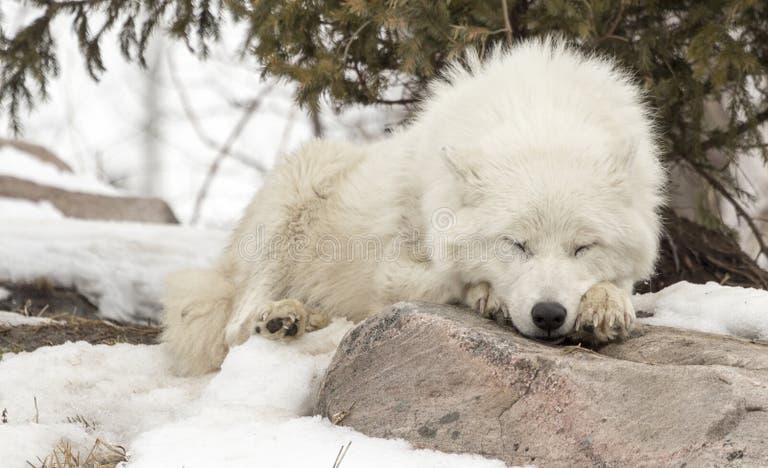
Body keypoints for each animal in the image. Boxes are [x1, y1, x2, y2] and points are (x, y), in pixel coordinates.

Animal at [162, 38, 664, 376]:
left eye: (583, 247)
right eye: (516, 244)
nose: (549, 315)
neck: (540, 117)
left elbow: (619, 283)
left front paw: (606, 304)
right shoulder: (394, 269)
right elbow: (453, 275)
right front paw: (487, 296)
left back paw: (304, 317)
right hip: (299, 187)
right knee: (235, 328)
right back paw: (284, 318)